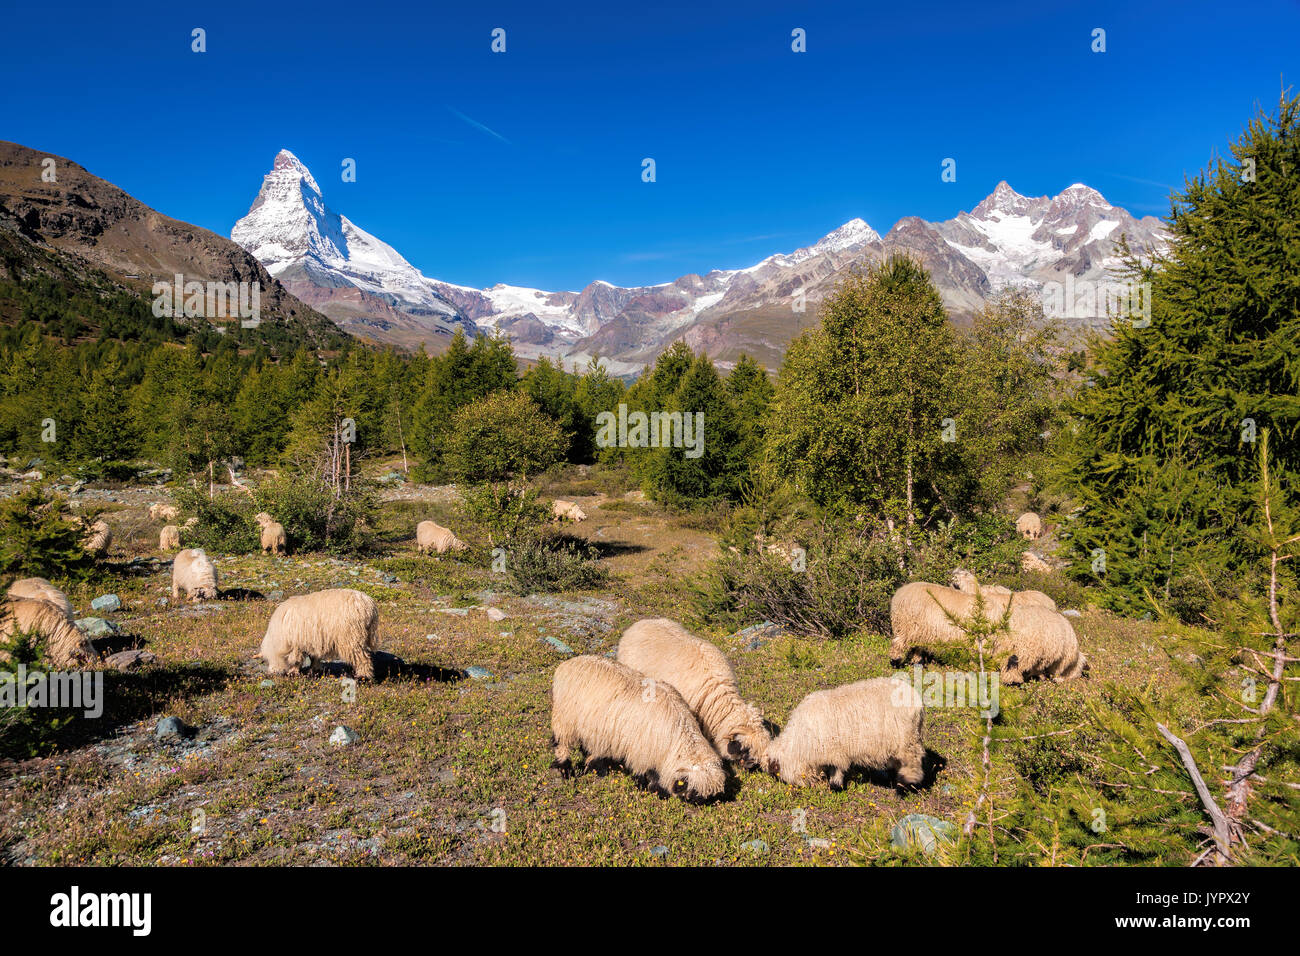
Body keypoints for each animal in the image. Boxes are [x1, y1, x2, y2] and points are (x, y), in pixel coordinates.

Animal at [550, 655, 726, 801]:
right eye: (693, 791)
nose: (692, 802)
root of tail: (566, 665)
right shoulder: (641, 752)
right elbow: (646, 772)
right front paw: (650, 789)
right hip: (564, 718)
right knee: (561, 744)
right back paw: (565, 770)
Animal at [763, 677, 925, 789]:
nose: (805, 787)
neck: (800, 741)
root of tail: (917, 700)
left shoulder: (836, 750)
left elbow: (838, 768)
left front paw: (835, 784)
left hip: (908, 738)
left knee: (914, 758)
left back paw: (907, 781)